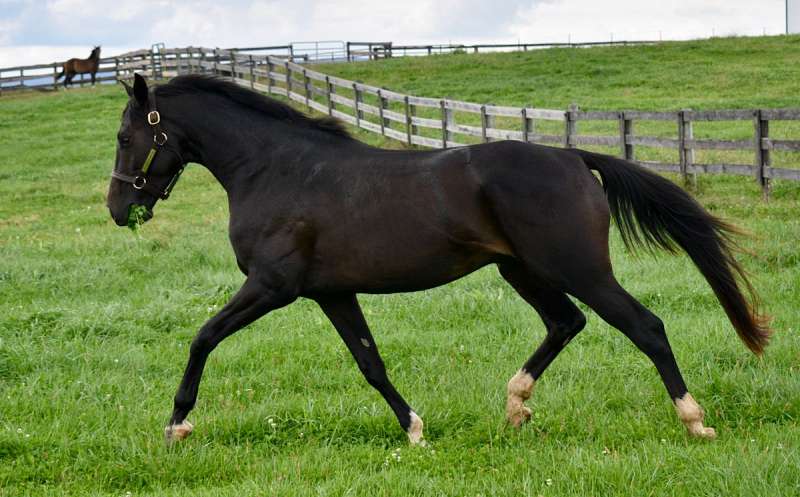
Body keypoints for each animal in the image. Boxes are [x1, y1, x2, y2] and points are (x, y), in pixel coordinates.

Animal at [107, 73, 771, 445]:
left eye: (125, 136)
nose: (118, 208)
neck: (275, 171)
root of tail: (573, 157)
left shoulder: (274, 286)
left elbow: (202, 337)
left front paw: (176, 426)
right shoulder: (331, 293)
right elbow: (371, 365)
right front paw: (415, 431)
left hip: (578, 268)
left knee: (645, 326)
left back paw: (695, 421)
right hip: (522, 269)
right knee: (566, 322)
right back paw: (515, 407)